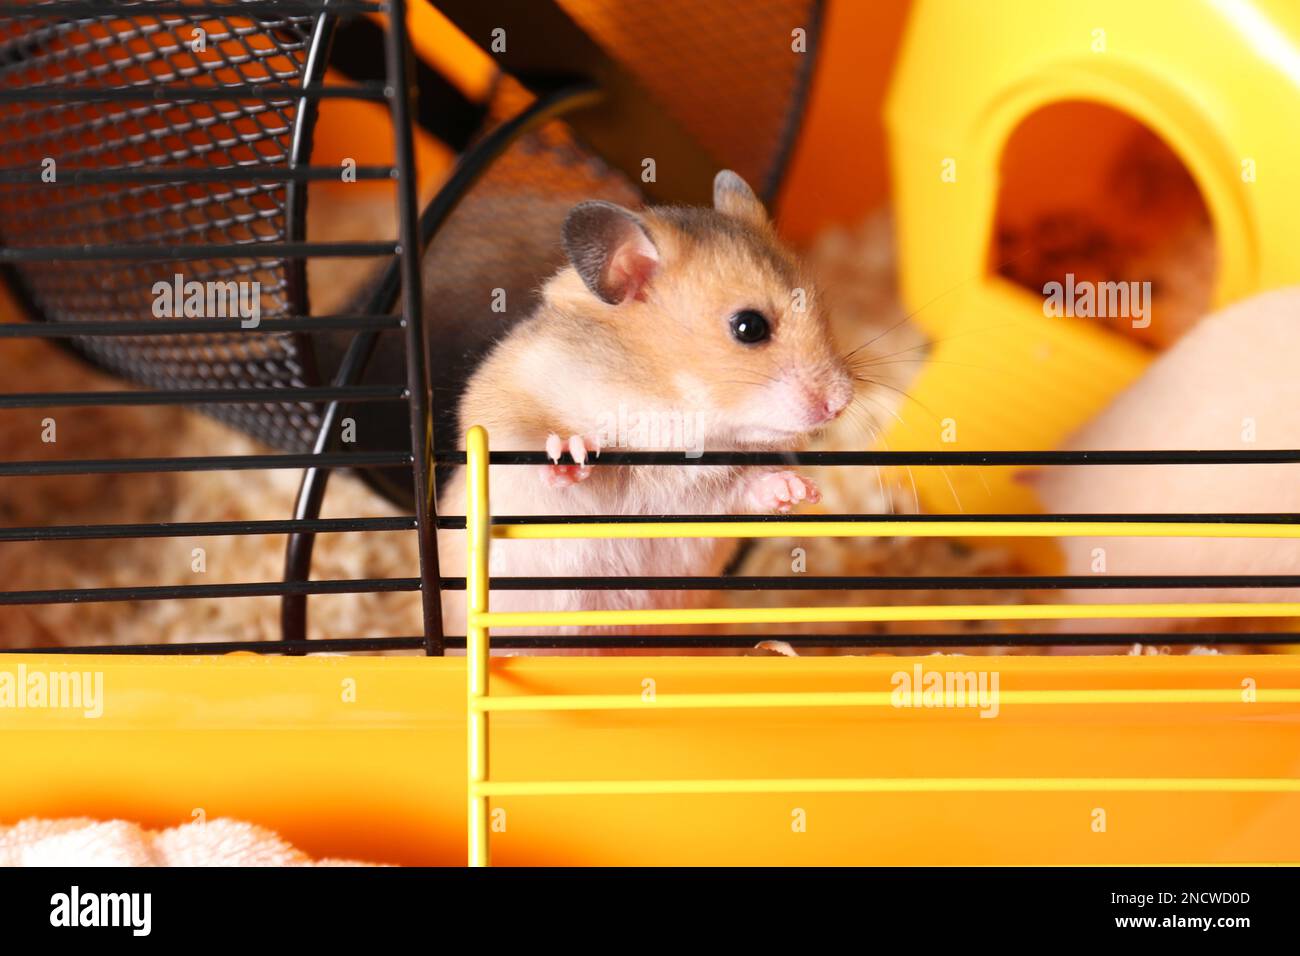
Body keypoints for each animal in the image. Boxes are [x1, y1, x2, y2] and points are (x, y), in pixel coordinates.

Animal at [437, 170, 855, 642]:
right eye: (749, 327)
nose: (841, 402)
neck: (668, 399)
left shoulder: (715, 493)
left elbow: (751, 486)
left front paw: (800, 490)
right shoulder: (508, 396)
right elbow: (531, 441)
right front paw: (572, 454)